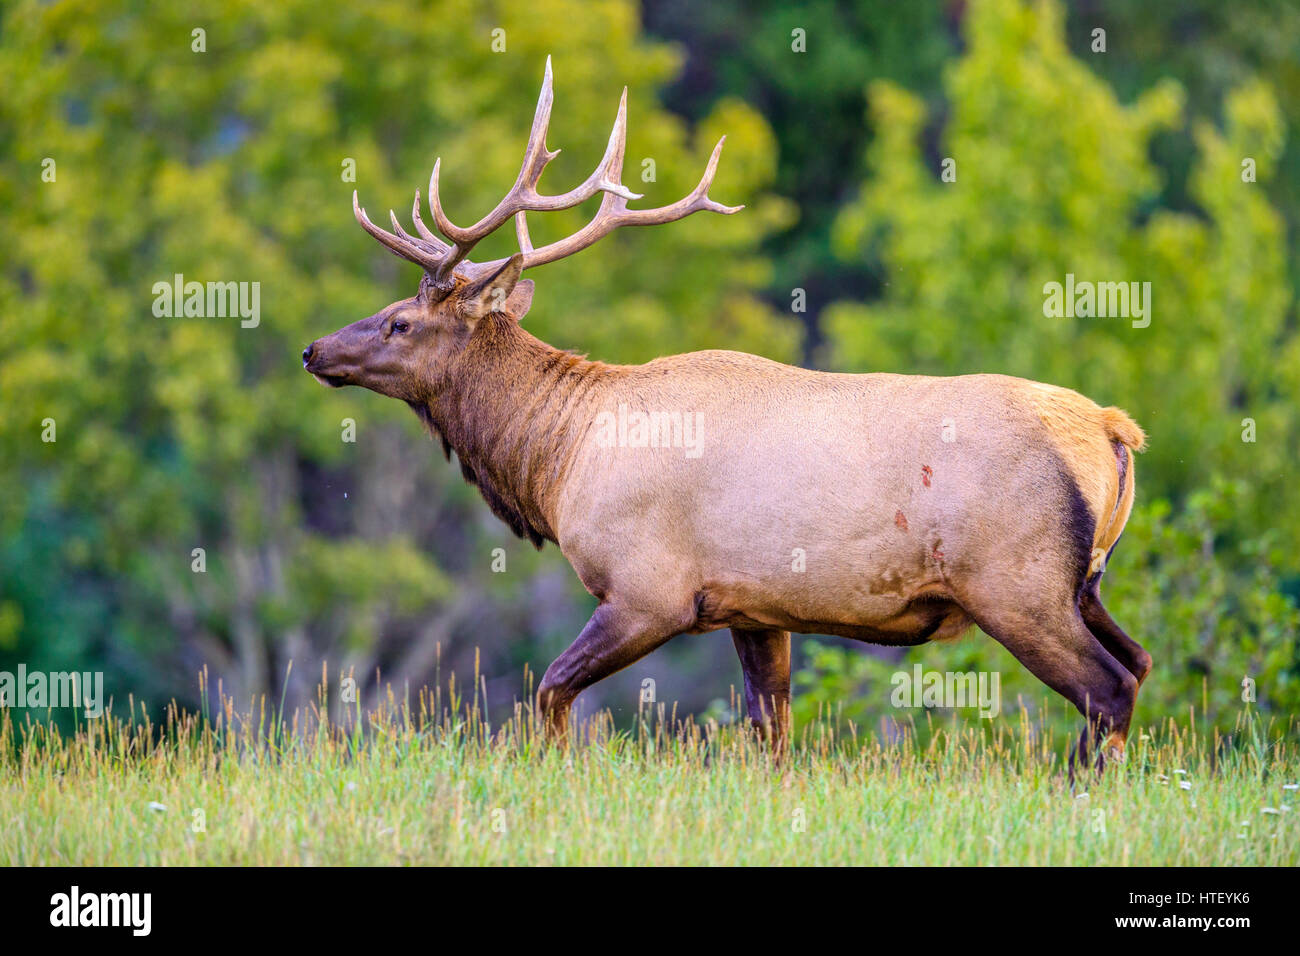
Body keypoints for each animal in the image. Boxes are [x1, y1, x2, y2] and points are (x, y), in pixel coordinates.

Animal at [302, 58, 1150, 772]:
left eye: (399, 323)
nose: (314, 349)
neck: (558, 459)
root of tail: (1113, 430)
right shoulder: (752, 604)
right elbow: (769, 731)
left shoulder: (648, 588)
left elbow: (549, 692)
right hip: (1082, 583)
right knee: (1137, 664)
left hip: (1016, 582)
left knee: (1108, 686)